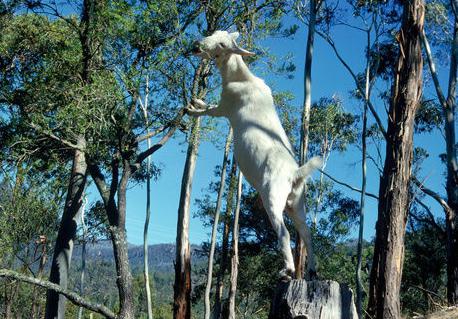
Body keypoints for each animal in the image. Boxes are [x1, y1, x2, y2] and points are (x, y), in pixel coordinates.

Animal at [188, 30, 320, 280]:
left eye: (223, 44)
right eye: (215, 33)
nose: (197, 45)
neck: (241, 78)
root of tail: (295, 174)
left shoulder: (225, 106)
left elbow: (209, 110)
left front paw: (192, 107)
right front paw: (195, 100)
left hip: (273, 197)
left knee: (285, 233)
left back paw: (287, 270)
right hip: (297, 203)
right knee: (307, 234)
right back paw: (311, 271)